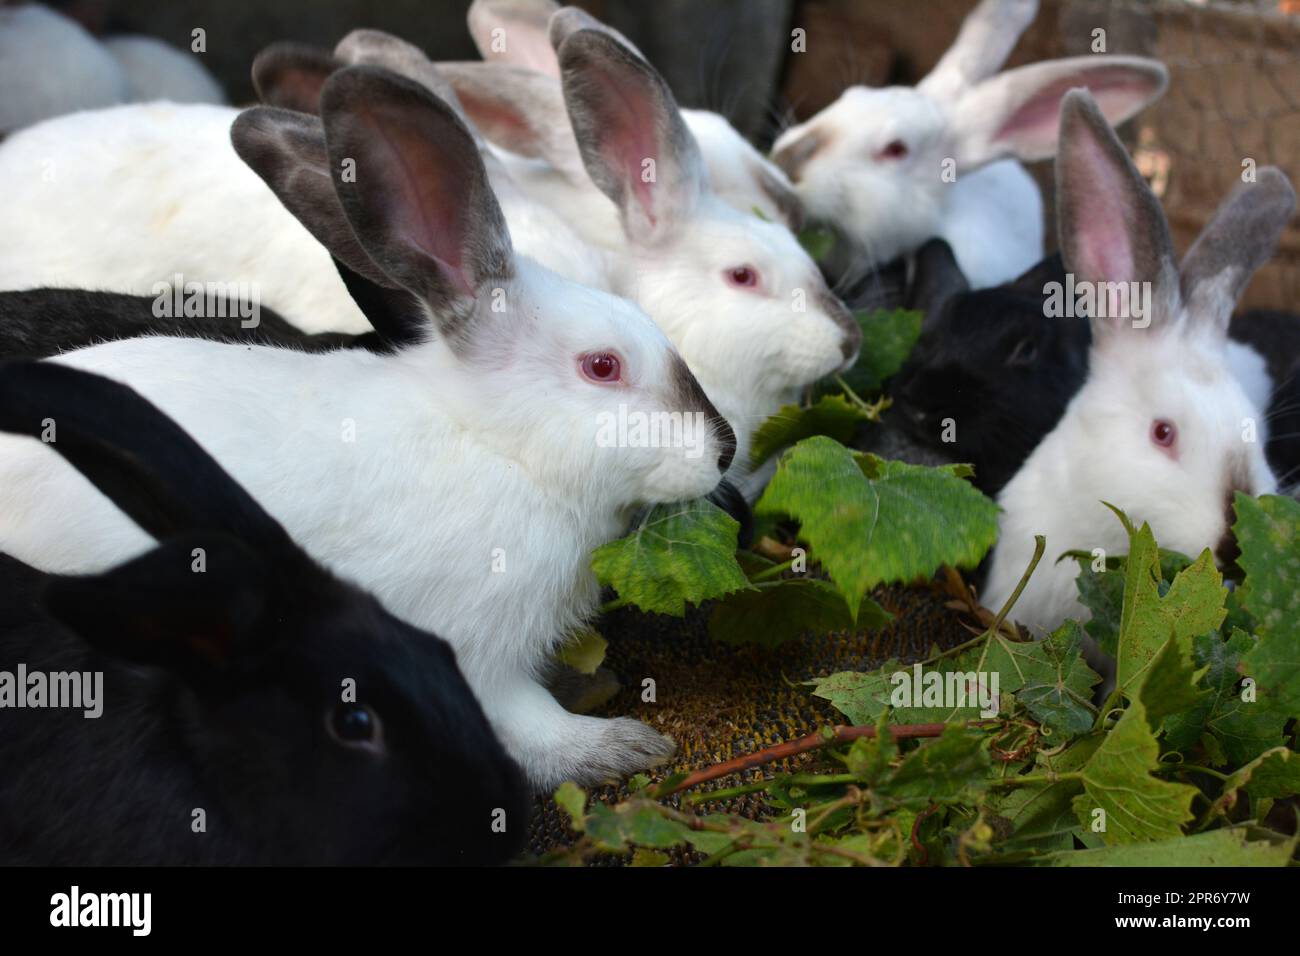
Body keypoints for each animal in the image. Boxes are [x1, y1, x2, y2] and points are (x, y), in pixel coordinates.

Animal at [0, 64, 736, 792]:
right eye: (602, 366)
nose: (724, 449)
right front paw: (623, 746)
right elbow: (530, 724)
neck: (494, 446)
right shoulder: (476, 648)